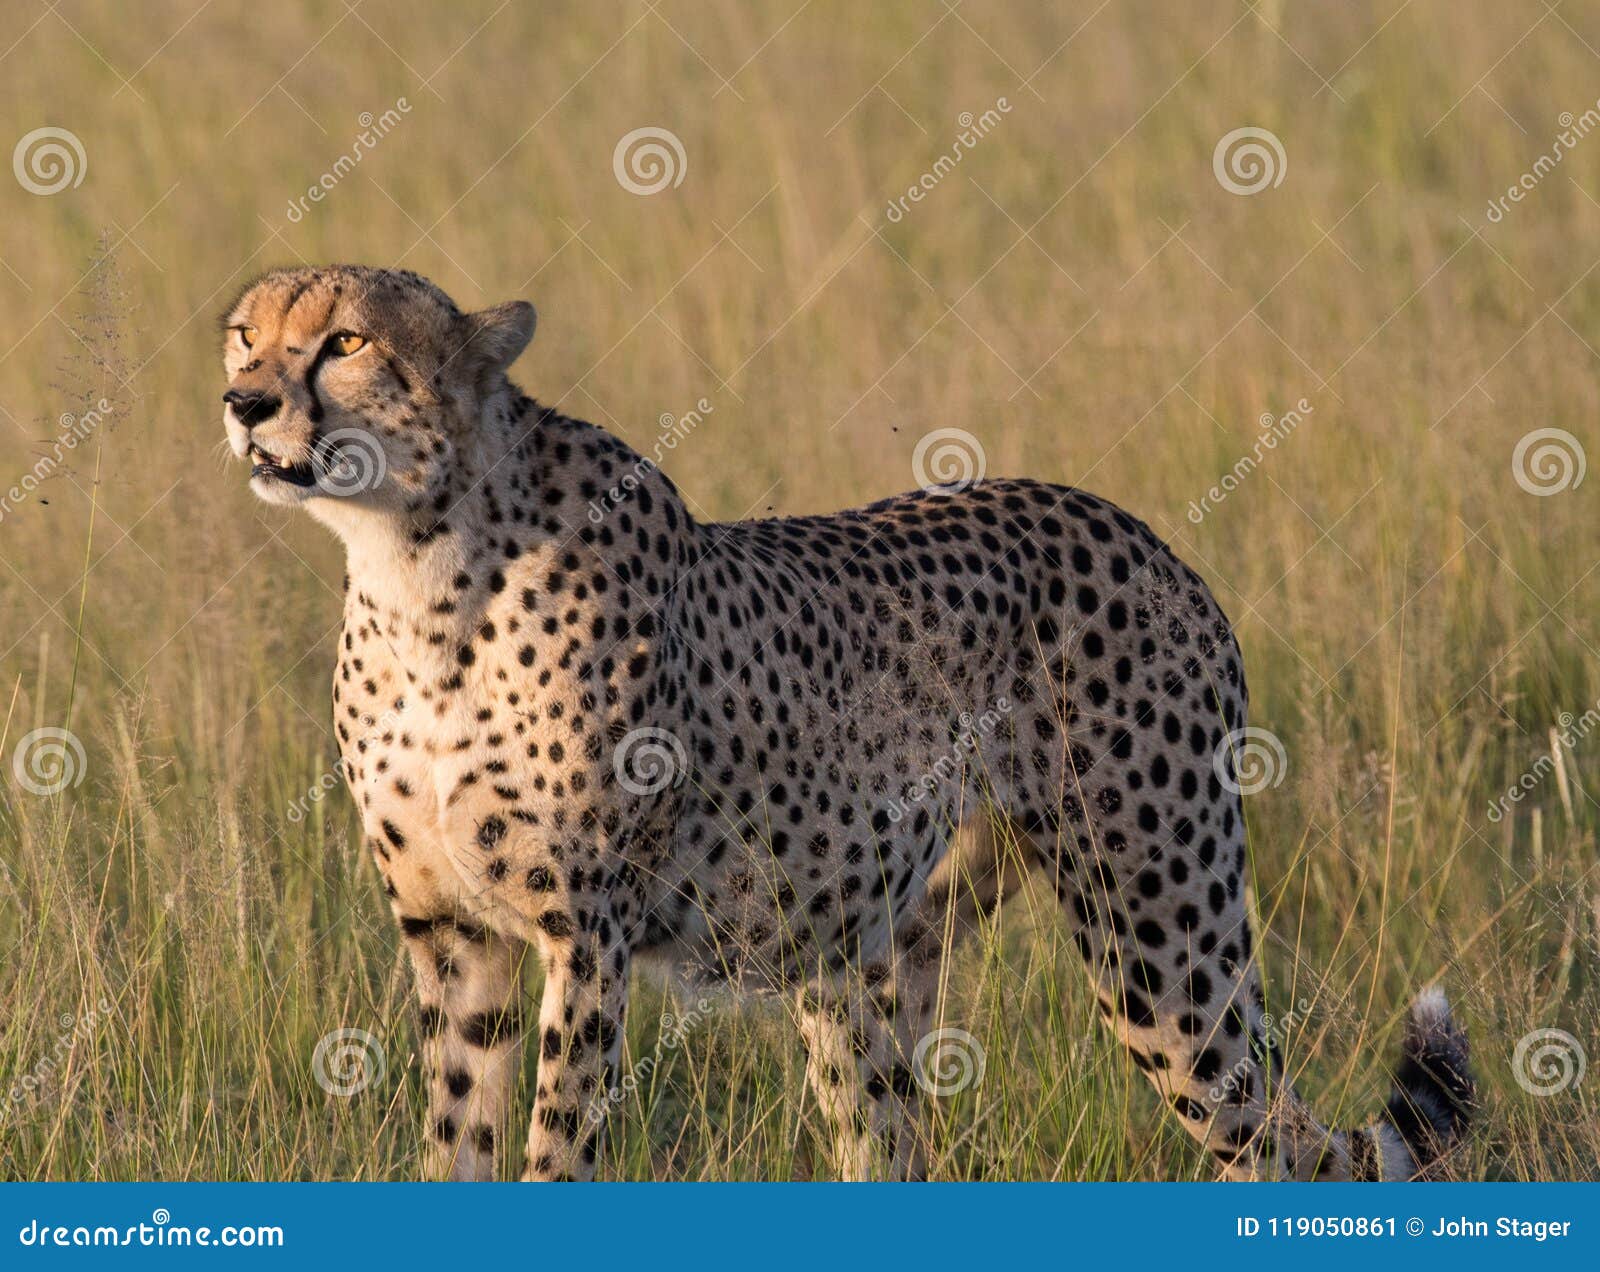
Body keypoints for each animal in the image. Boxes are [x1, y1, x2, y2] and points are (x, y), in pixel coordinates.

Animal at [219, 264, 1472, 1182]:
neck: (414, 567)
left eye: (345, 343)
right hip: (862, 951)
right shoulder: (450, 933)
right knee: (895, 1143)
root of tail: (1139, 530)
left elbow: (554, 1139)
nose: (244, 403)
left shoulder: (590, 932)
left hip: (1157, 942)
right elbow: (458, 1138)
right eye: (244, 335)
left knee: (1264, 1142)